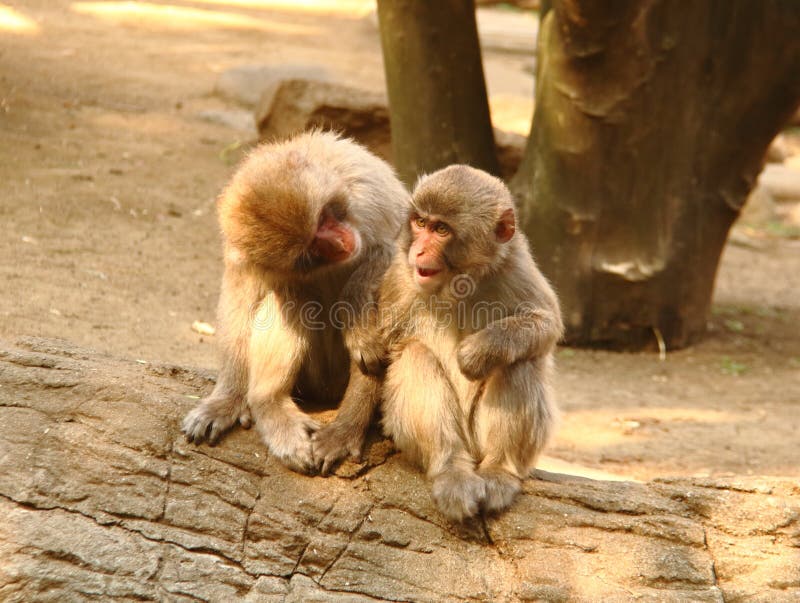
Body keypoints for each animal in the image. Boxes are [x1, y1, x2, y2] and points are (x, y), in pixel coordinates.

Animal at [182, 131, 409, 475]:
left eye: (325, 219)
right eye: (311, 249)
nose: (342, 243)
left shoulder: (367, 190)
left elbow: (396, 251)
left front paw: (356, 319)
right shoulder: (242, 254)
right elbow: (240, 301)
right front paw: (227, 399)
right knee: (289, 296)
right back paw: (269, 403)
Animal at [376, 164, 563, 522]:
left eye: (441, 229)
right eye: (420, 223)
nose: (418, 250)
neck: (458, 283)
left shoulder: (515, 266)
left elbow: (546, 322)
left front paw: (481, 351)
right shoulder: (400, 277)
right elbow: (383, 346)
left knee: (520, 361)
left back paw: (499, 470)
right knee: (415, 354)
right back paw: (450, 468)